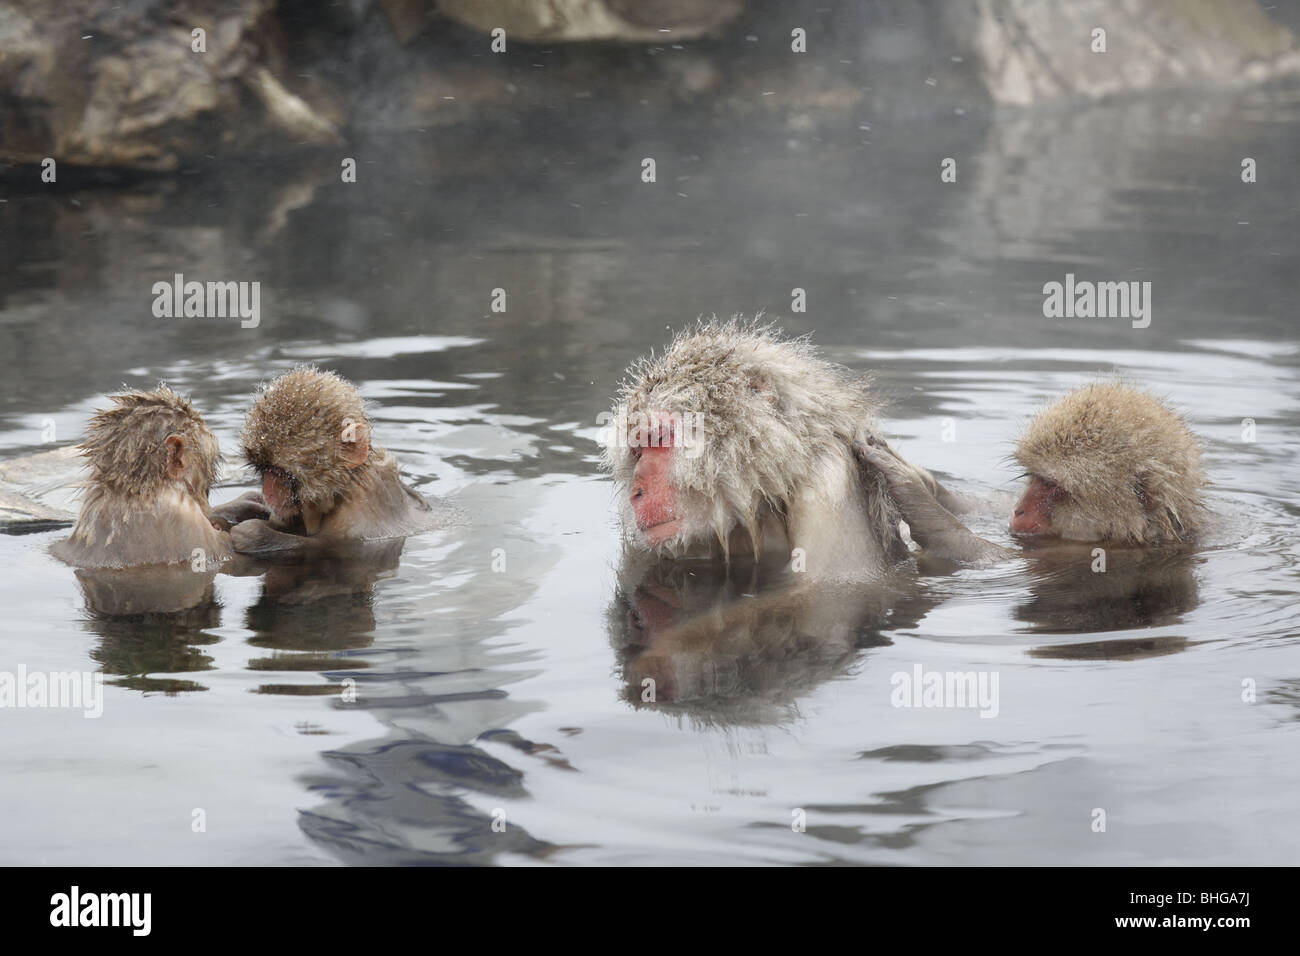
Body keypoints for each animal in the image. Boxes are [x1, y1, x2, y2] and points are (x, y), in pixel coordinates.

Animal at [231, 366, 440, 556]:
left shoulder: (356, 518)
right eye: (264, 468)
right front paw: (245, 505)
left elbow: (327, 546)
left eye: (281, 473)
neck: (344, 490)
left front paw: (255, 535)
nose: (268, 492)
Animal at [854, 382, 1207, 566]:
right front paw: (914, 472)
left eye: (1052, 485)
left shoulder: (1089, 555)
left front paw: (908, 485)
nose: (1019, 510)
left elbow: (985, 556)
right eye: (1035, 477)